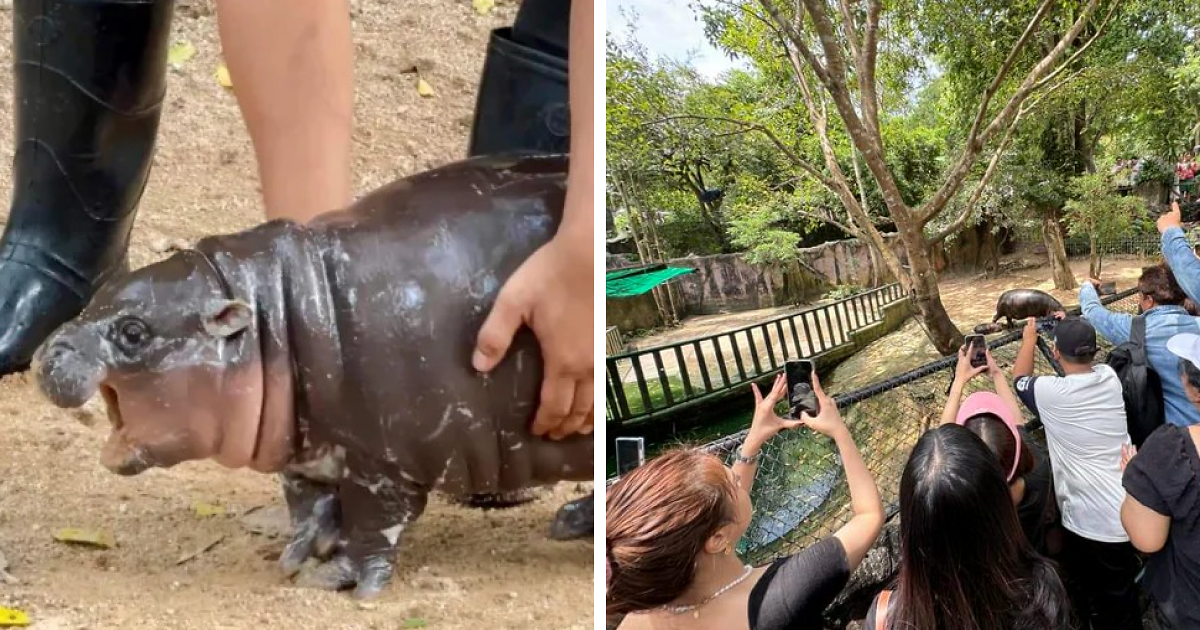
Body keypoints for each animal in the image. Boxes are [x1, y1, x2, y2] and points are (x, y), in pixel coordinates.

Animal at [32, 153, 593, 599]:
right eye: (100, 293)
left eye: (133, 331)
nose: (47, 352)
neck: (273, 316)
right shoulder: (305, 449)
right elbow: (308, 504)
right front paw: (297, 556)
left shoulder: (385, 463)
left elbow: (373, 524)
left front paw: (339, 580)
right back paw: (567, 524)